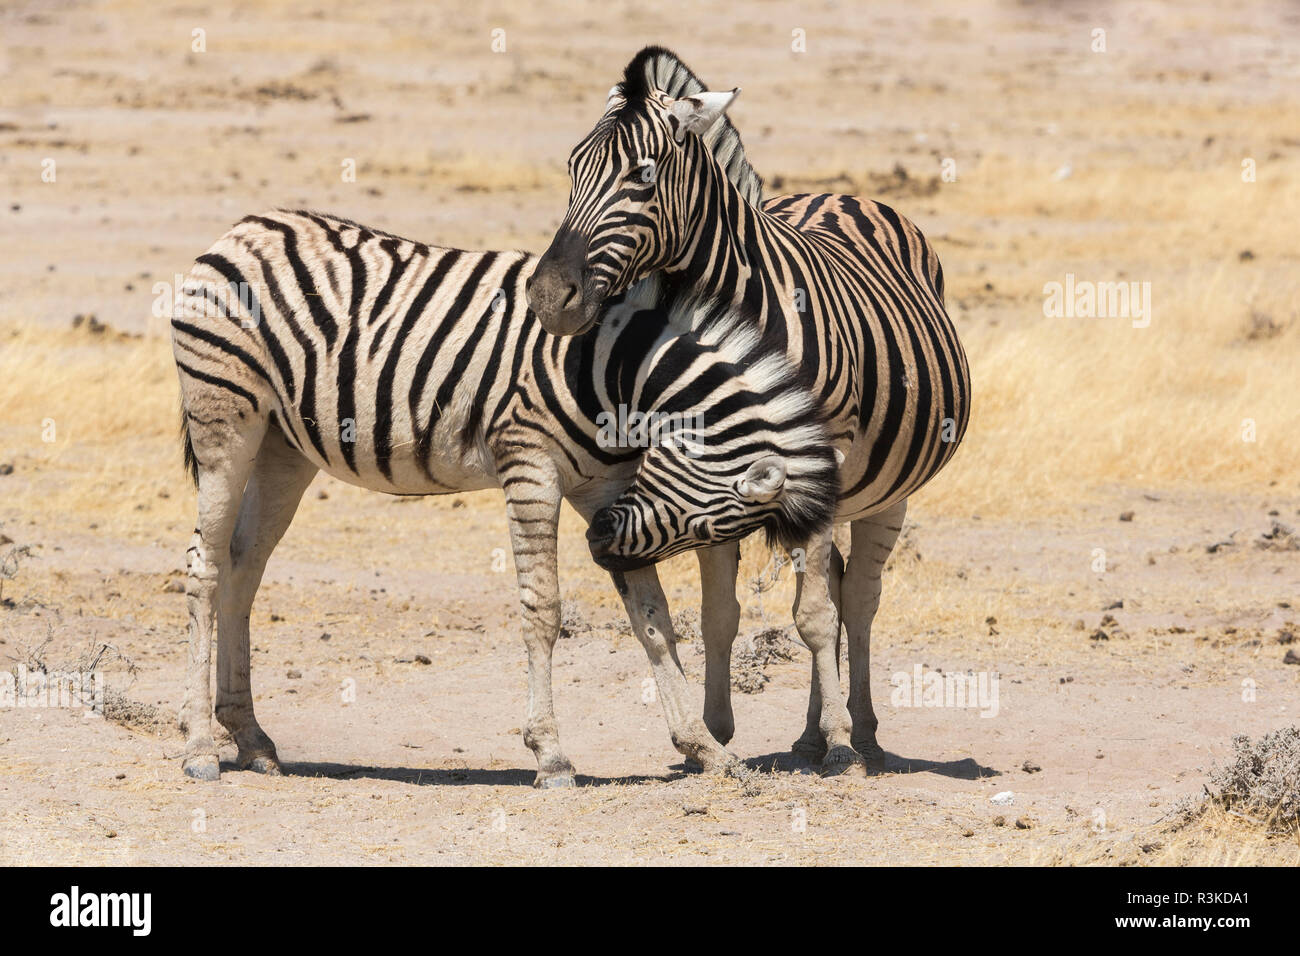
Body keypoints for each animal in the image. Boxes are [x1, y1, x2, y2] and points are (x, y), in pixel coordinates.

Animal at [171, 208, 838, 786]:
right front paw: (551, 754)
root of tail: (244, 228)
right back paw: (201, 748)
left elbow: (652, 618)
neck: (617, 368)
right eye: (705, 530)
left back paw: (251, 739)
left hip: (283, 446)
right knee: (204, 569)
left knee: (242, 567)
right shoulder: (529, 464)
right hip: (226, 421)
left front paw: (703, 747)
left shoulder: (607, 488)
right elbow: (543, 610)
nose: (600, 546)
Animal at [528, 46, 972, 773]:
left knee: (858, 597)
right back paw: (811, 734)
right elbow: (721, 613)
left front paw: (840, 743)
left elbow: (815, 614)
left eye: (643, 175)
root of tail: (840, 194)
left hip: (887, 489)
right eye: (572, 165)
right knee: (834, 584)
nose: (547, 297)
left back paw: (858, 732)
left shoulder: (822, 455)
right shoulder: (711, 456)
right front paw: (714, 733)